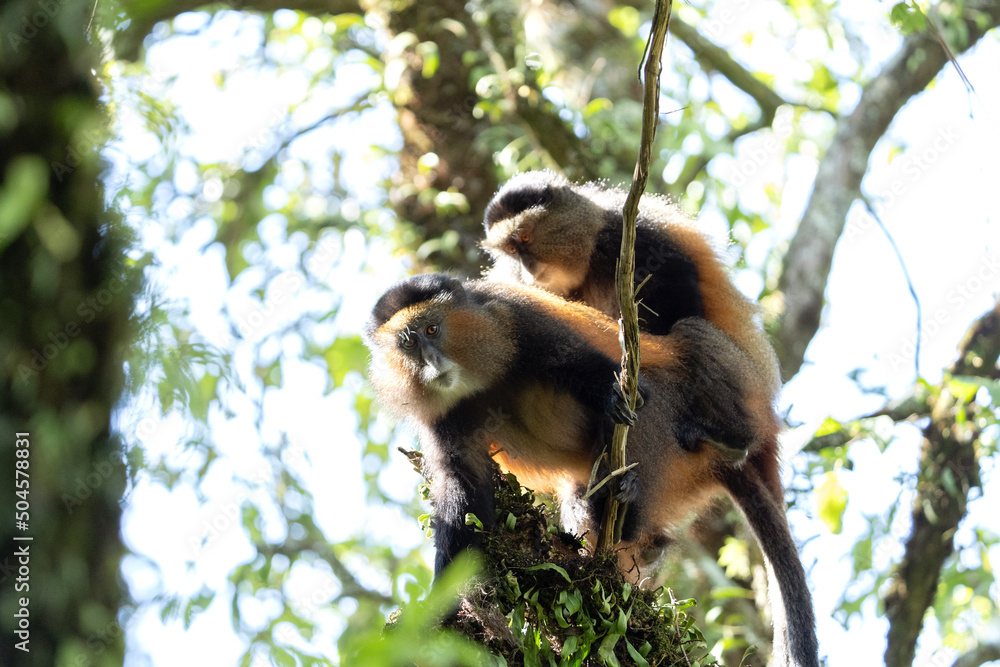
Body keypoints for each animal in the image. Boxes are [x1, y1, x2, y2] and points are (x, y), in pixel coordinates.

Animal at [363, 274, 818, 667]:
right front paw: (443, 611)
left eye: (433, 329)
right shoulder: (443, 421)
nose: (431, 362)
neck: (478, 378)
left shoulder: (520, 321)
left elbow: (590, 370)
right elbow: (463, 489)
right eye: (408, 342)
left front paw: (613, 398)